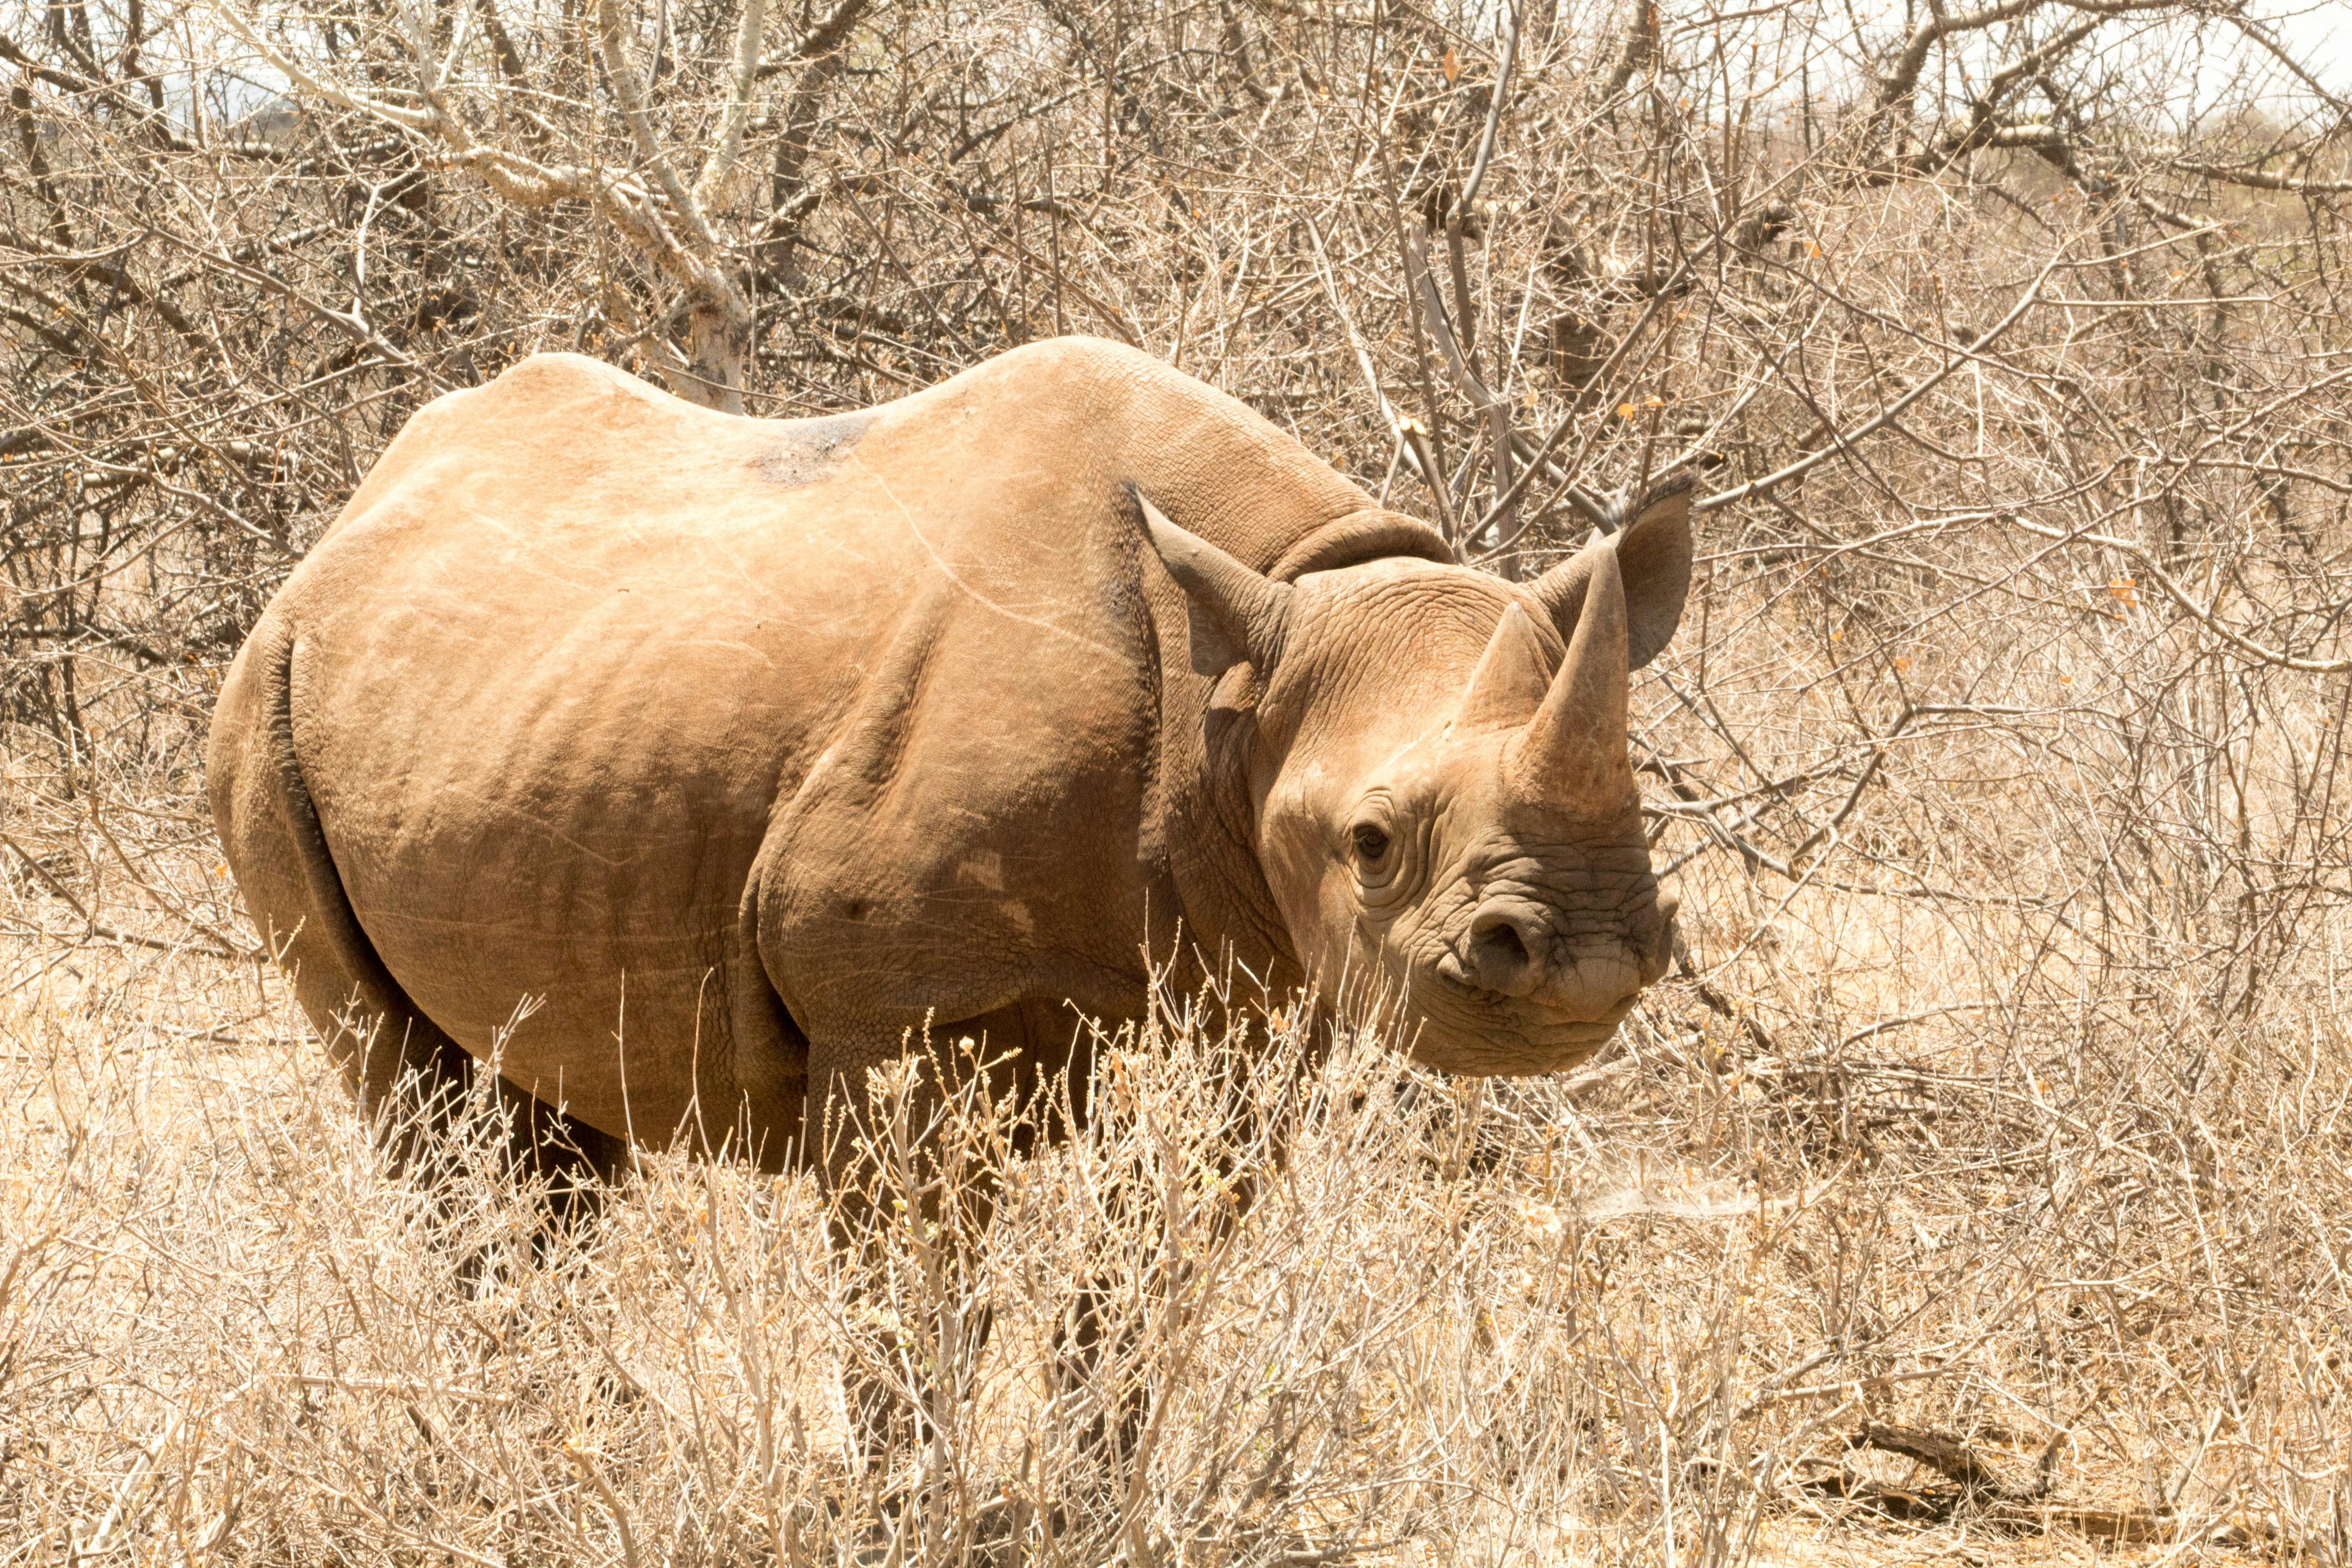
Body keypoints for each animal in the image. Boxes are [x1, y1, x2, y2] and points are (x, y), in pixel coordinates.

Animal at [209, 336, 1687, 1191]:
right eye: (1370, 843)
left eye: (1649, 815)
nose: (1583, 964)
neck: (1240, 675)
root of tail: (336, 536)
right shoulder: (888, 1012)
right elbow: (916, 1306)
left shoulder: (1243, 1015)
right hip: (261, 714)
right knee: (442, 1137)